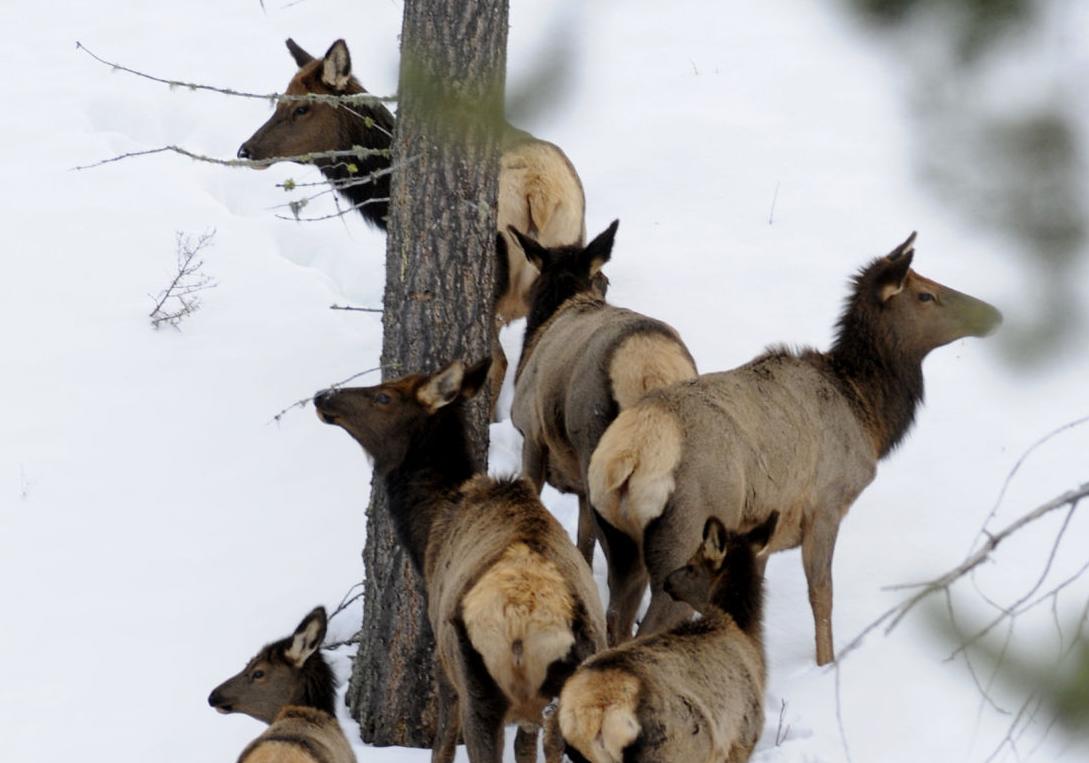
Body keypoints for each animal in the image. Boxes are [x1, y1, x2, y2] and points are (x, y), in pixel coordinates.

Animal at [239, 38, 587, 412]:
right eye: (279, 101)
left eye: (302, 108)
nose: (246, 150)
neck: (384, 195)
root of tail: (540, 190)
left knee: (498, 363)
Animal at [313, 357, 607, 763]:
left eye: (384, 396)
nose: (322, 397)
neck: (428, 531)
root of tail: (527, 623)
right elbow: (524, 747)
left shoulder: (444, 658)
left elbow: (443, 744)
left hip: (477, 688)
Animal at [588, 232, 1003, 662]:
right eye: (925, 294)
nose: (993, 314)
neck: (868, 416)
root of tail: (629, 455)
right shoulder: (827, 503)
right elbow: (822, 595)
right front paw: (826, 663)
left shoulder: (763, 527)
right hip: (684, 533)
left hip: (617, 537)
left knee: (614, 619)